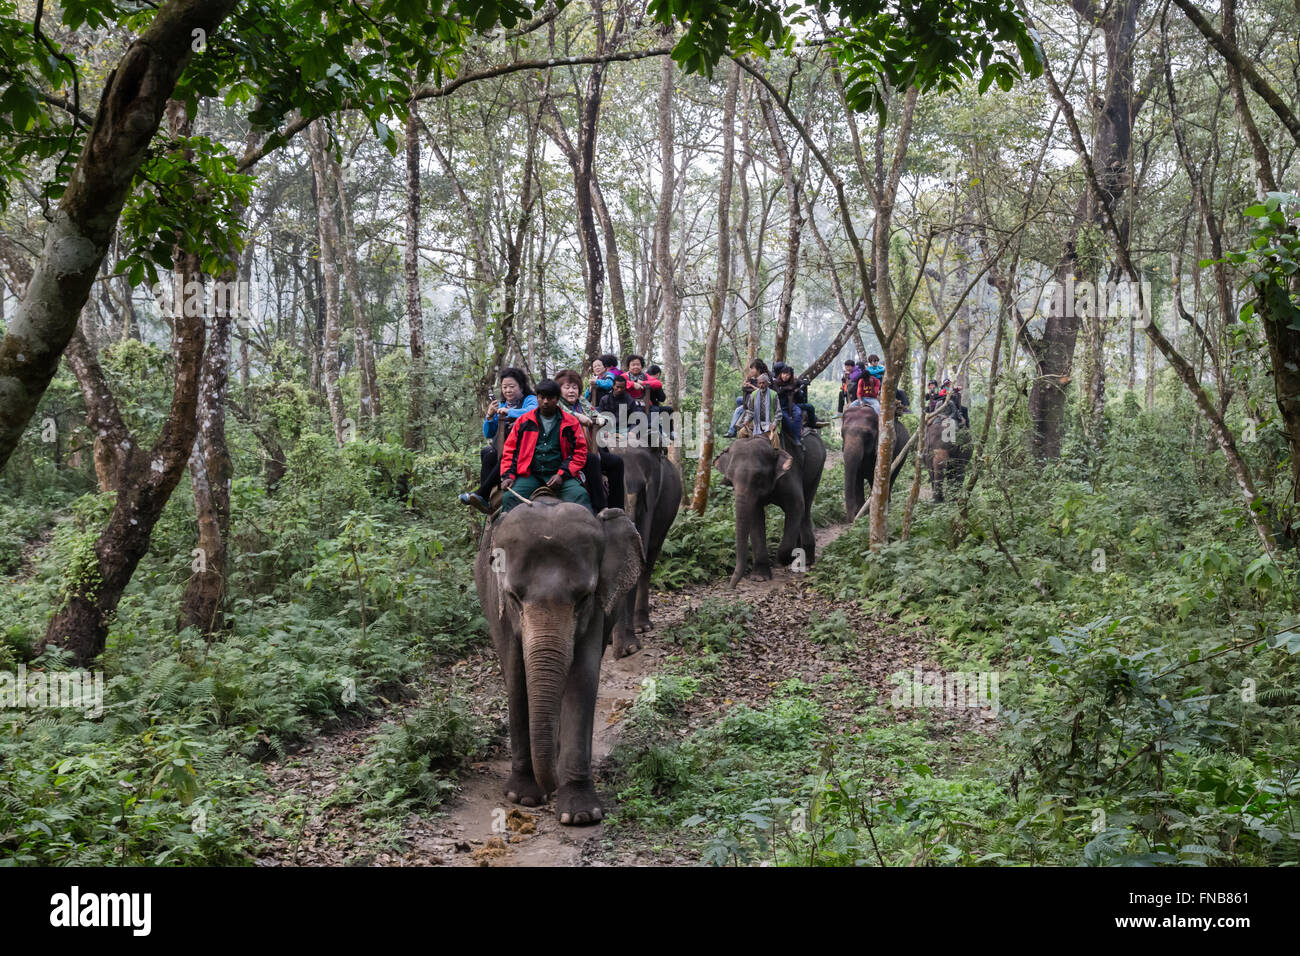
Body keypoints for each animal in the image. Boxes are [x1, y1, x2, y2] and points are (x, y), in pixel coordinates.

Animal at [474, 499, 643, 825]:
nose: (549, 788)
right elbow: (516, 676)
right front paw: (523, 796)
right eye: (514, 597)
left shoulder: (597, 609)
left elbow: (583, 678)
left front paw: (581, 814)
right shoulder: (499, 607)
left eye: (583, 597)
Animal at [714, 430, 826, 588]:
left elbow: (797, 505)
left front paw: (782, 561)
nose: (730, 586)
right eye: (730, 478)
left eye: (758, 476)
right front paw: (759, 577)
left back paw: (806, 560)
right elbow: (755, 515)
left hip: (818, 467)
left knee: (806, 506)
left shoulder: (790, 473)